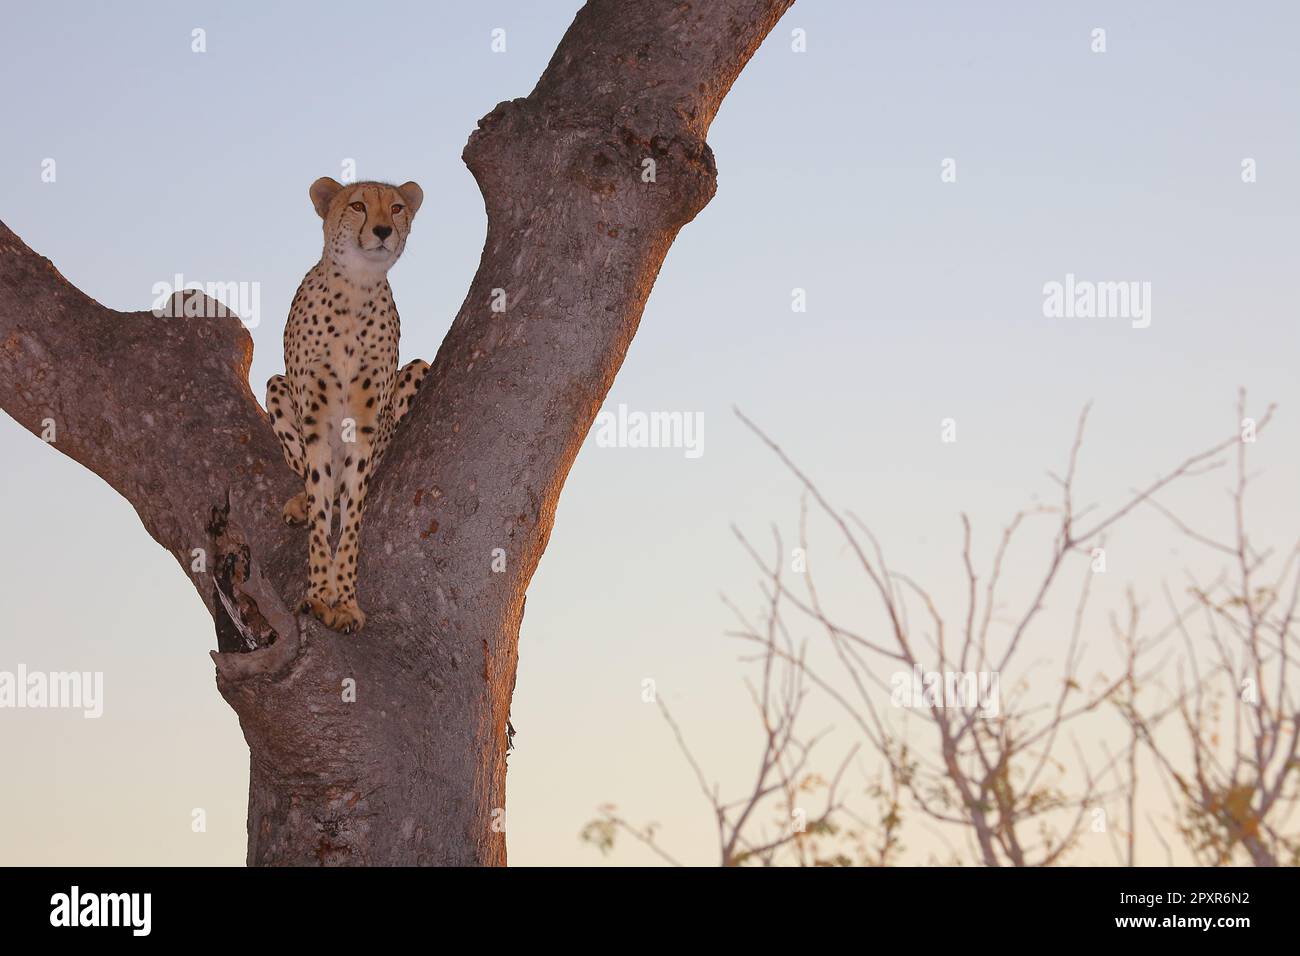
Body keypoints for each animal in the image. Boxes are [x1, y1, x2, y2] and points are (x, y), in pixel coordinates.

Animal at [265, 176, 430, 634]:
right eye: (358, 205)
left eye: (396, 207)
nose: (383, 231)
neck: (356, 289)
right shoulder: (316, 423)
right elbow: (322, 516)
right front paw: (321, 593)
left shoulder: (365, 427)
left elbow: (352, 516)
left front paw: (346, 600)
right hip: (276, 387)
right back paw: (300, 503)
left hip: (418, 369)